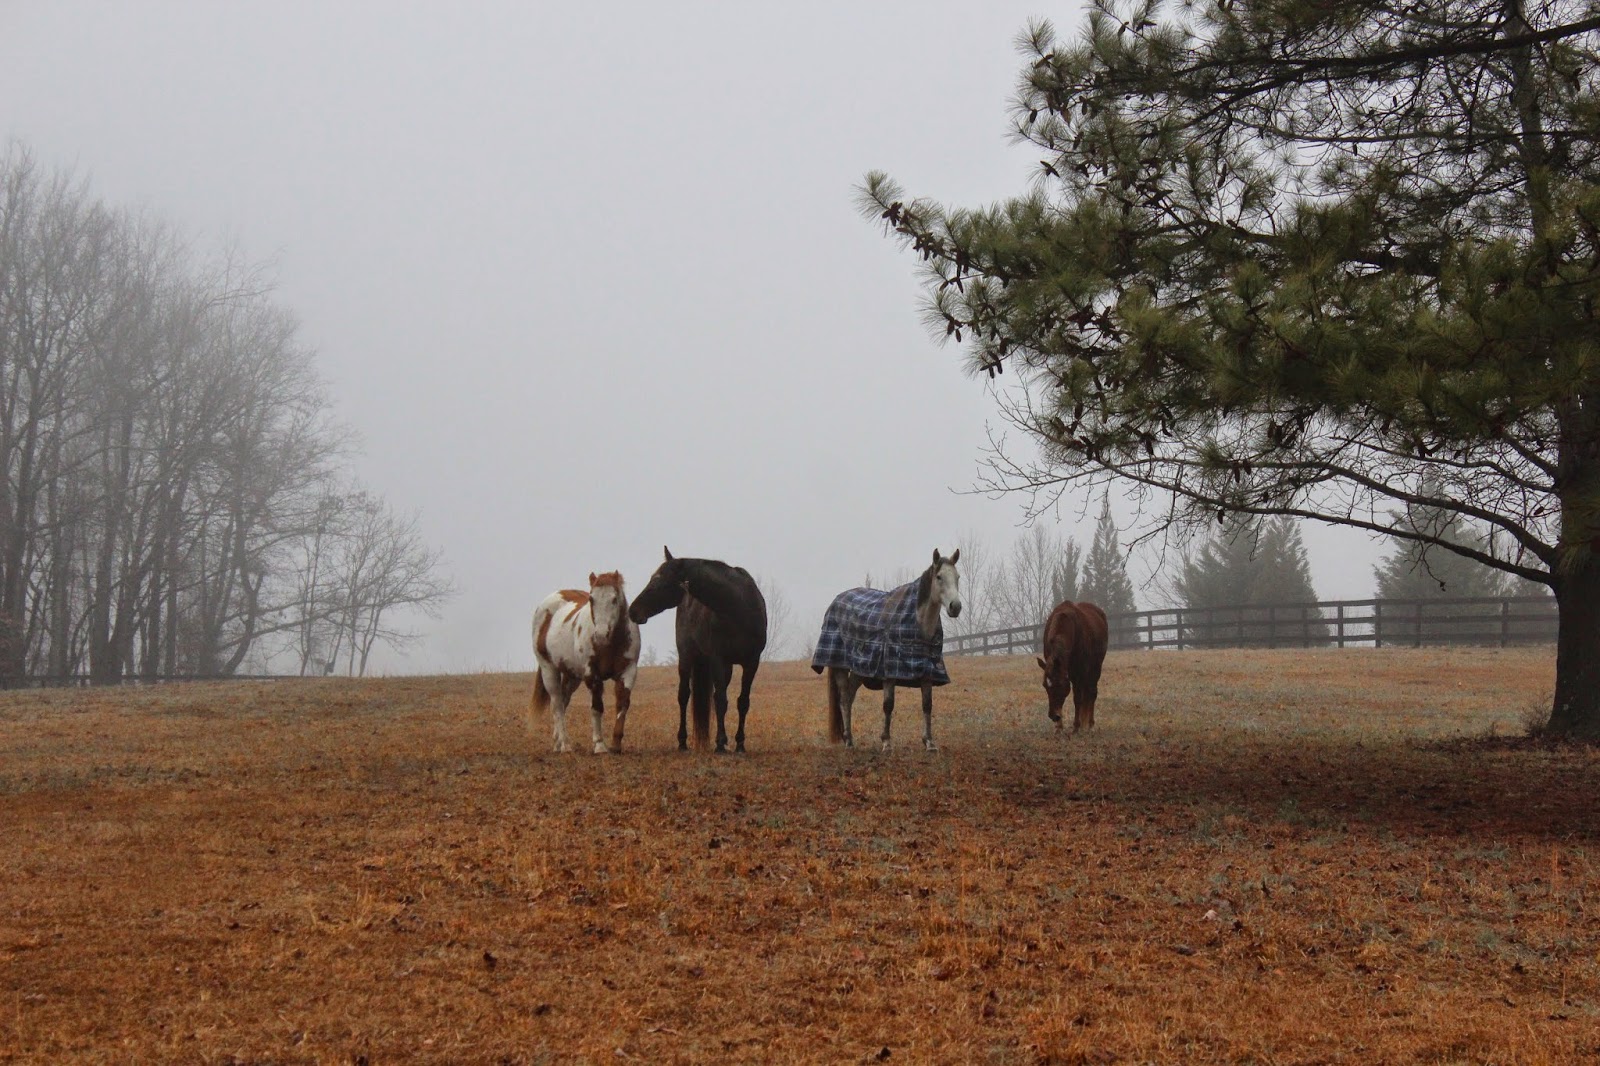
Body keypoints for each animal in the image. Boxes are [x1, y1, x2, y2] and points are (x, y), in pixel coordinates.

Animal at [529, 571, 642, 754]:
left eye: (614, 598)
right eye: (591, 599)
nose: (601, 635)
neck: (611, 644)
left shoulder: (628, 672)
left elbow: (622, 705)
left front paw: (616, 745)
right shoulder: (592, 676)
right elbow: (596, 707)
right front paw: (599, 745)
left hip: (572, 676)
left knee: (563, 701)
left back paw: (557, 743)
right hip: (549, 670)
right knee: (557, 705)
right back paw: (565, 745)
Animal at [628, 547, 767, 753]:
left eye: (660, 581)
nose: (633, 611)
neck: (737, 608)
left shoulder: (752, 662)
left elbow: (742, 702)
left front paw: (740, 744)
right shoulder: (718, 660)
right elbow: (720, 700)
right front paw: (720, 742)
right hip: (686, 658)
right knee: (684, 696)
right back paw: (682, 741)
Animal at [812, 548, 961, 752]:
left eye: (957, 577)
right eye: (939, 577)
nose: (956, 607)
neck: (916, 624)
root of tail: (835, 602)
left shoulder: (927, 670)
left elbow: (927, 705)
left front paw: (929, 742)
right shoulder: (889, 671)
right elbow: (888, 705)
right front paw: (886, 742)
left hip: (860, 669)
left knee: (849, 697)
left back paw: (849, 738)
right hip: (840, 666)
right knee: (843, 699)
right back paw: (849, 740)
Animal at [1037, 598, 1109, 731]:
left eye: (1060, 685)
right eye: (1045, 686)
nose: (1053, 716)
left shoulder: (1078, 673)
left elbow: (1077, 698)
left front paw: (1076, 726)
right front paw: (1059, 727)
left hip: (1096, 667)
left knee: (1092, 692)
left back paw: (1089, 724)